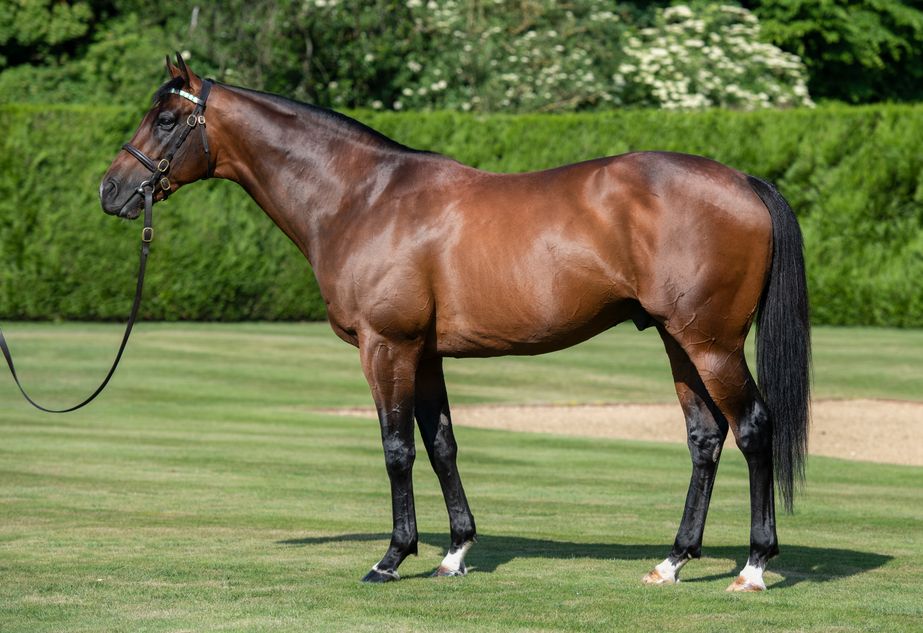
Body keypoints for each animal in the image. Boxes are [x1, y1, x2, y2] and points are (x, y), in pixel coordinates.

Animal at [100, 55, 810, 592]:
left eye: (167, 119)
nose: (110, 191)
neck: (363, 198)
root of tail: (743, 181)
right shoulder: (425, 353)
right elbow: (442, 445)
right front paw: (454, 553)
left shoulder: (385, 347)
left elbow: (396, 449)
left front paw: (392, 558)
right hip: (677, 340)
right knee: (704, 437)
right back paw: (672, 561)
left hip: (710, 343)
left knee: (752, 427)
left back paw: (752, 566)